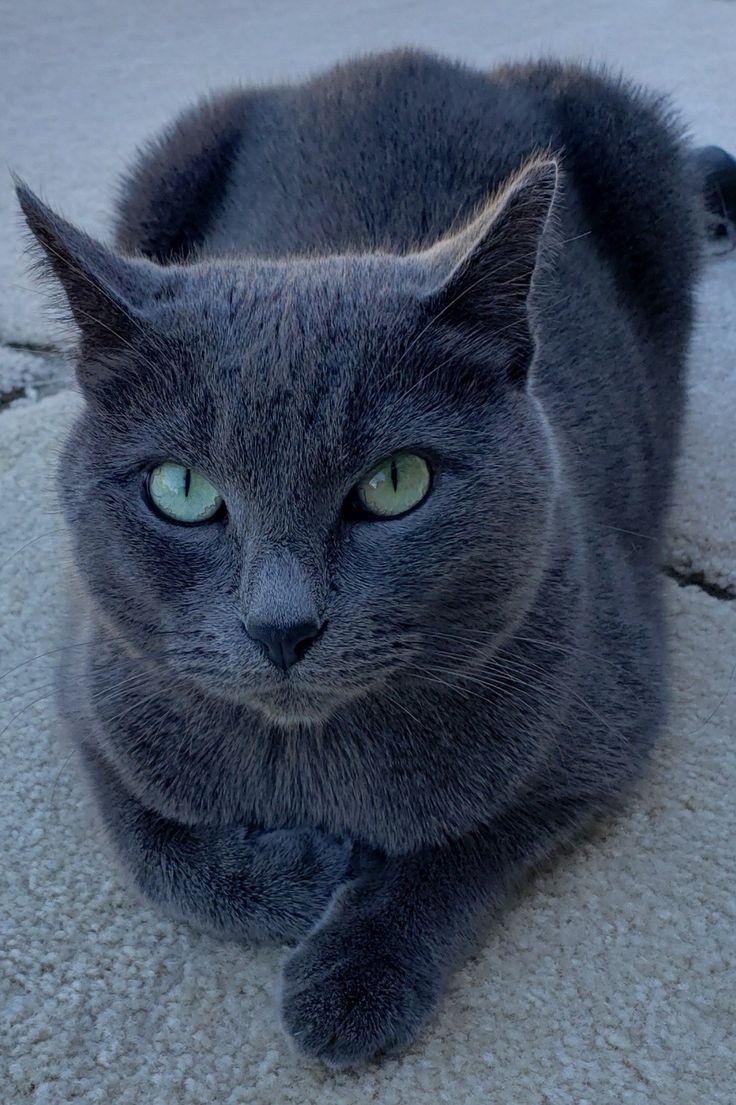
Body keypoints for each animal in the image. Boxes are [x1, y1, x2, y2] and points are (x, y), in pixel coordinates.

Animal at [17, 49, 707, 1060]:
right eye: (180, 489)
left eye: (396, 482)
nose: (281, 624)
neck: (309, 757)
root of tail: (410, 61)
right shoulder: (93, 689)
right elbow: (155, 848)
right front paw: (305, 871)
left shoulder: (604, 716)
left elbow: (467, 845)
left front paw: (350, 978)